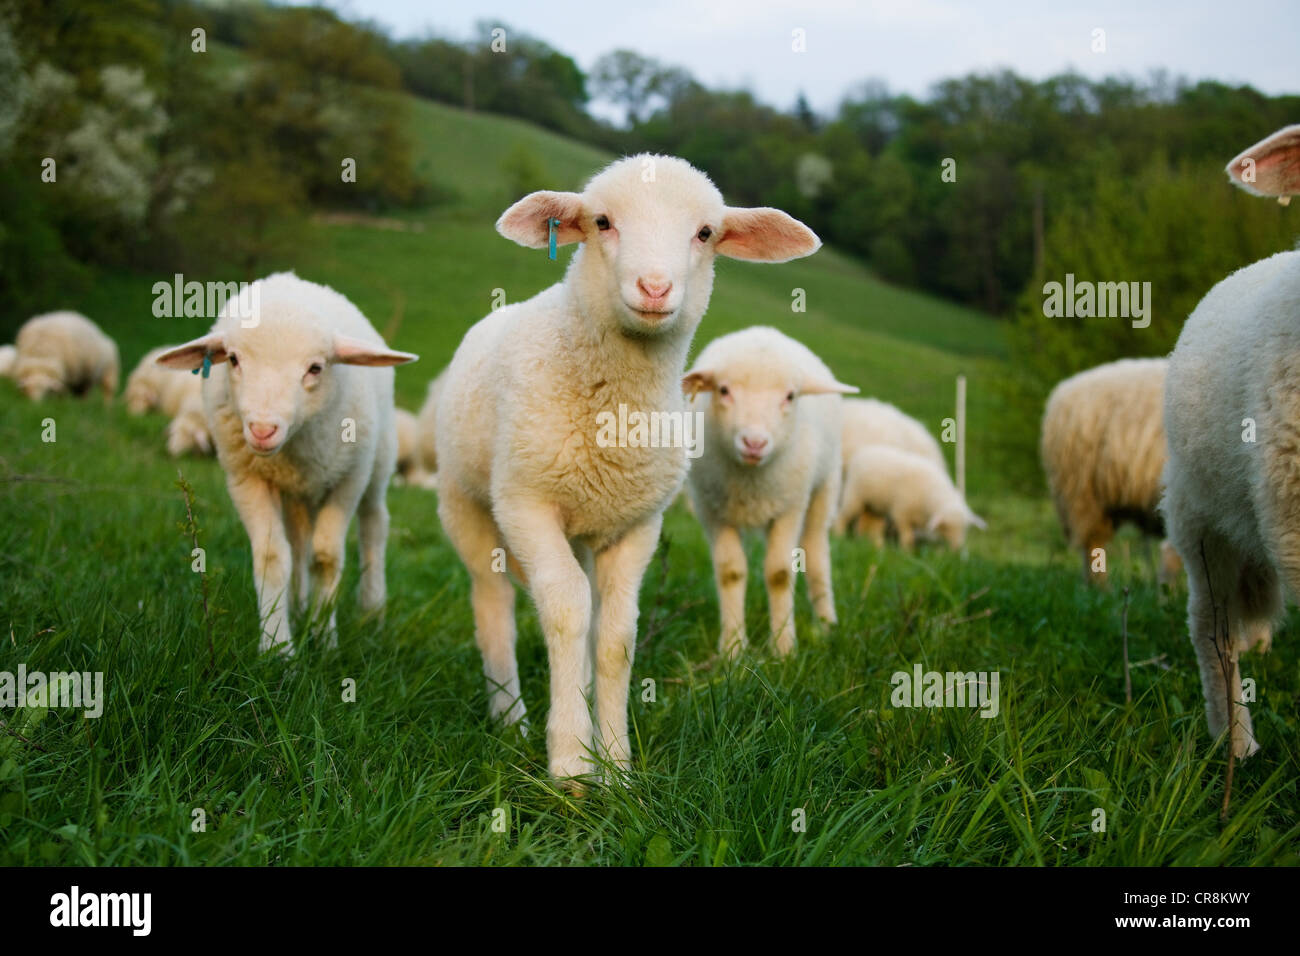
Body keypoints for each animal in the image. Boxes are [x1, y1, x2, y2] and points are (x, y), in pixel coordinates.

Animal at [157, 272, 417, 654]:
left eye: (315, 368)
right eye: (232, 359)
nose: (263, 430)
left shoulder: (349, 478)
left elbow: (326, 557)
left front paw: (325, 640)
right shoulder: (245, 477)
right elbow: (273, 557)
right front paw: (278, 647)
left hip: (377, 458)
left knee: (374, 525)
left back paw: (372, 612)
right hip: (297, 491)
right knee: (297, 542)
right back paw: (297, 607)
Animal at [435, 154, 820, 782]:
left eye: (705, 232)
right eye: (602, 222)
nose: (655, 287)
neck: (614, 411)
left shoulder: (638, 524)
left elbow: (616, 635)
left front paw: (615, 764)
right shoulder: (526, 502)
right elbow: (566, 611)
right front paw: (570, 763)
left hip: (590, 525)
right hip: (467, 503)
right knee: (494, 605)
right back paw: (510, 717)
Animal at [682, 326, 857, 657]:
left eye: (790, 396)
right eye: (723, 390)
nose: (754, 443)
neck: (751, 480)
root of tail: (765, 332)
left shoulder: (791, 506)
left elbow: (779, 573)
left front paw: (784, 648)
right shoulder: (709, 508)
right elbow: (730, 572)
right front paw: (733, 648)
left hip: (823, 487)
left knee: (817, 554)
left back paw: (827, 624)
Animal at [835, 443, 985, 550]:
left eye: (965, 529)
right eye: (945, 527)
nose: (957, 549)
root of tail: (864, 451)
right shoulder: (902, 512)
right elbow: (907, 537)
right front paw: (907, 552)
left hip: (875, 505)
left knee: (868, 525)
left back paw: (875, 544)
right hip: (855, 495)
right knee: (844, 516)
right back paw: (840, 535)